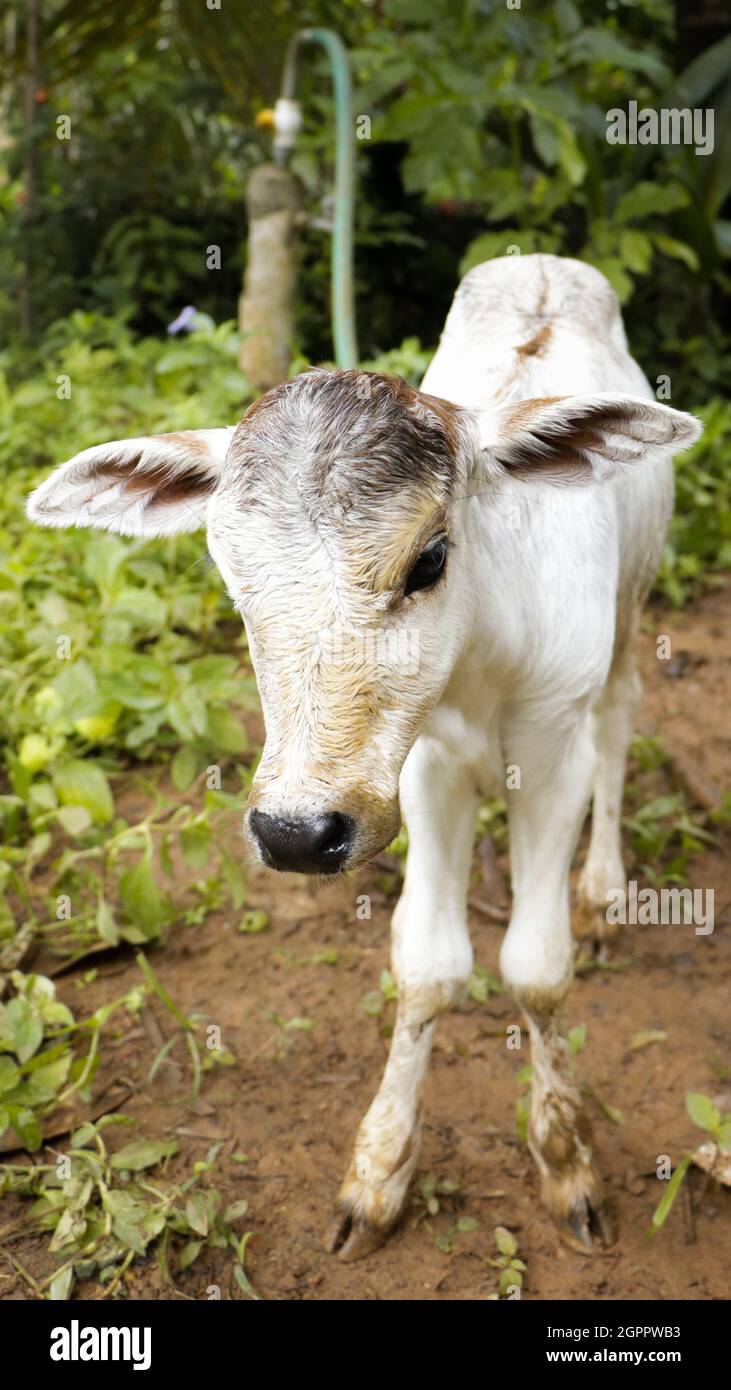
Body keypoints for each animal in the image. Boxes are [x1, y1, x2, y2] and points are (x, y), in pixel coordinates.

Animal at [27, 254, 701, 1260]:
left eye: (428, 559)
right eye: (232, 580)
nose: (295, 833)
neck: (485, 646)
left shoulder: (553, 751)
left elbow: (536, 968)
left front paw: (565, 1159)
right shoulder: (413, 768)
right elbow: (427, 964)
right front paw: (379, 1172)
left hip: (632, 605)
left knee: (622, 718)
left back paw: (603, 889)